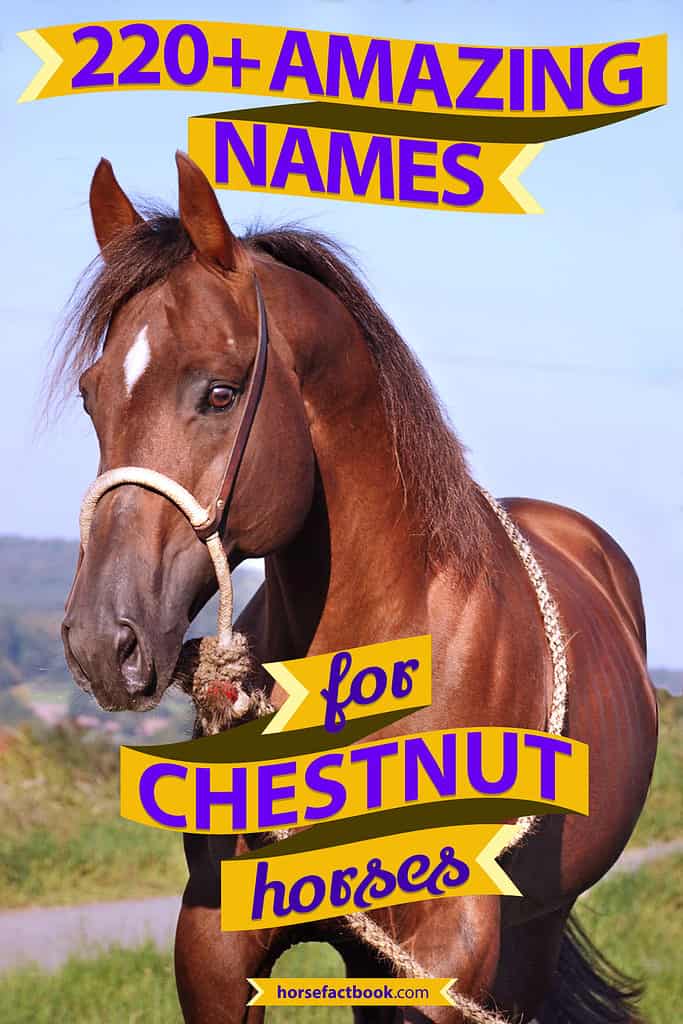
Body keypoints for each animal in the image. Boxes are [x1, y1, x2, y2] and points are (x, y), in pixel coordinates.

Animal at [57, 152, 657, 1023]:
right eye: (91, 393)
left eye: (219, 392)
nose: (104, 641)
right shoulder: (214, 946)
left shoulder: (444, 953)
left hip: (529, 934)